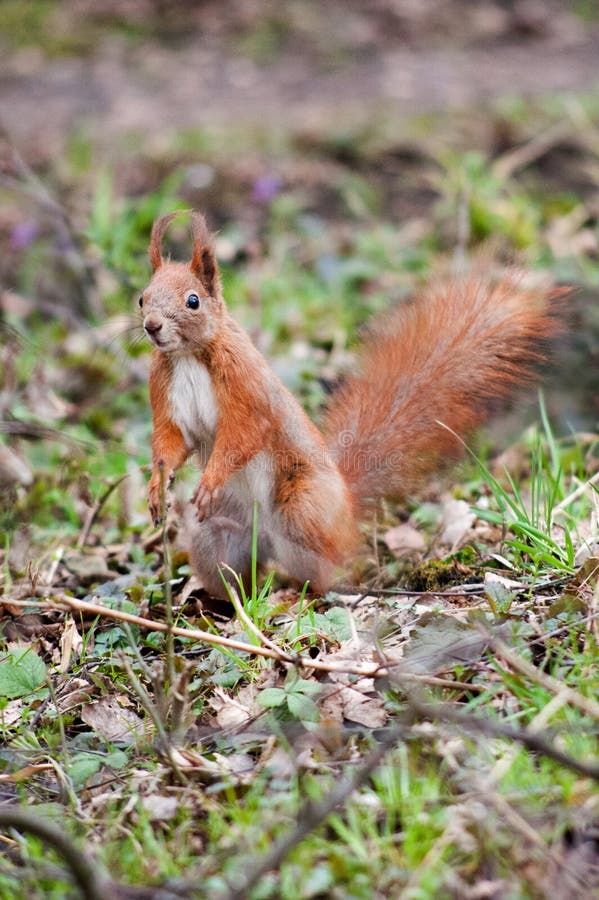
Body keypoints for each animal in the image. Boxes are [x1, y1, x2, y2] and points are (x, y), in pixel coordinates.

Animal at [140, 210, 560, 598]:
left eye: (193, 301)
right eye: (142, 298)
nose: (152, 325)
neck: (189, 356)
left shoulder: (246, 387)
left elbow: (244, 434)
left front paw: (208, 481)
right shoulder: (165, 393)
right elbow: (171, 441)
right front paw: (157, 489)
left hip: (302, 508)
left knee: (324, 571)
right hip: (216, 535)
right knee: (233, 573)